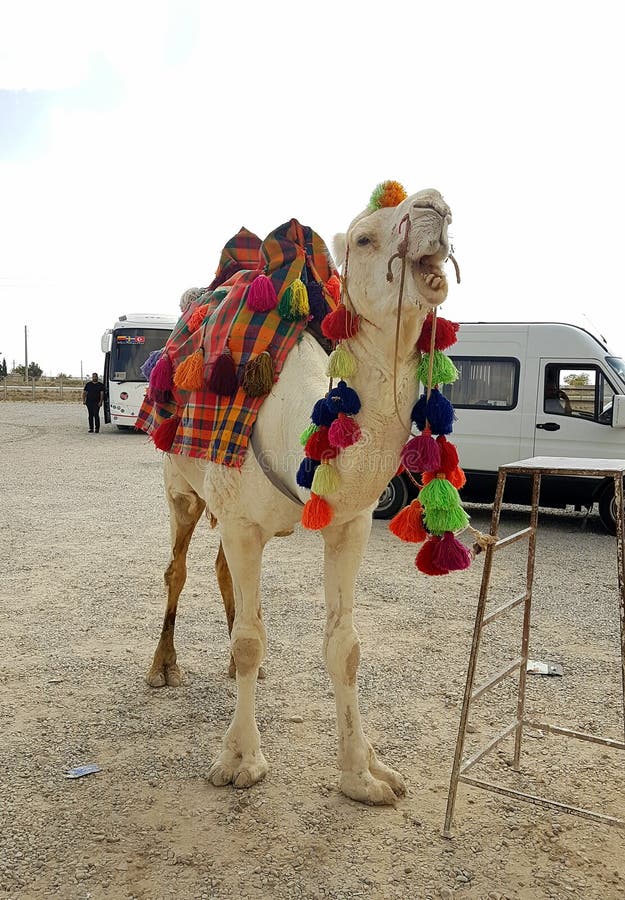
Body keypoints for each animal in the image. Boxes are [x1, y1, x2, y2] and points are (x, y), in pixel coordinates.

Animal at [146, 188, 453, 805]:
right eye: (364, 237)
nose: (434, 204)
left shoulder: (349, 522)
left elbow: (345, 646)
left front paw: (364, 774)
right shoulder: (242, 523)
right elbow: (250, 641)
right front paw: (239, 761)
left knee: (220, 571)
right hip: (181, 490)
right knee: (178, 569)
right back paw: (164, 668)